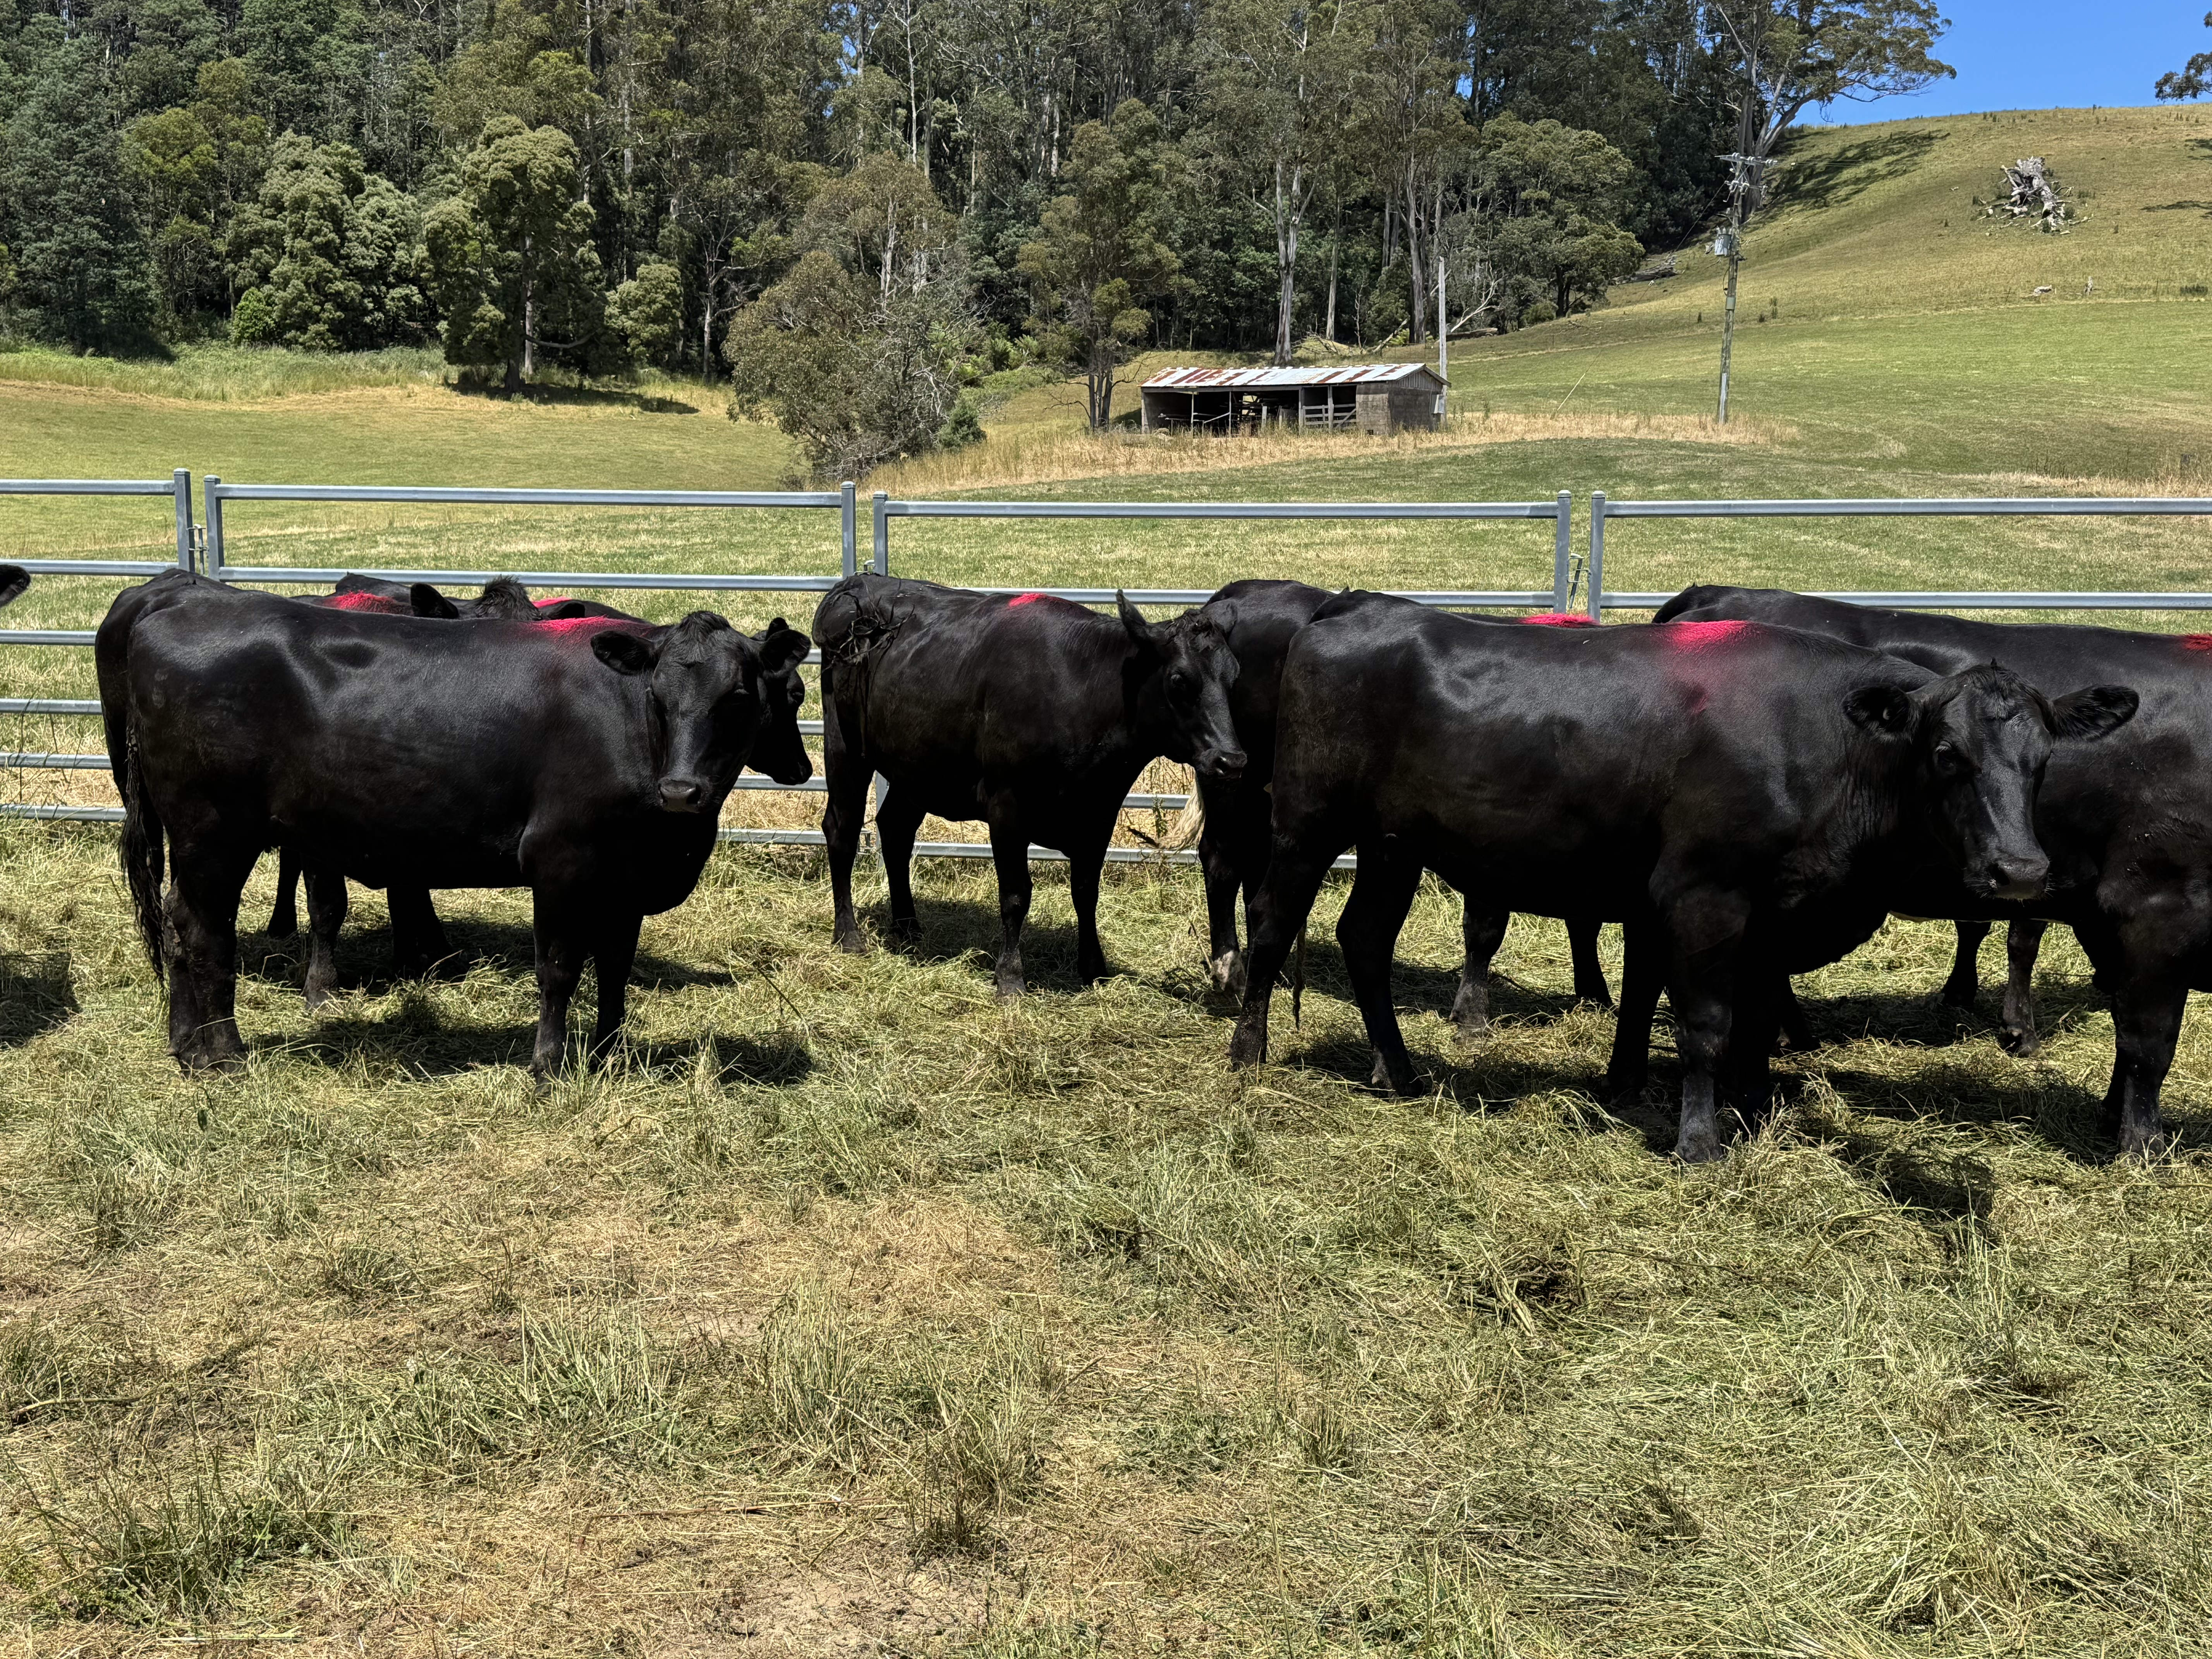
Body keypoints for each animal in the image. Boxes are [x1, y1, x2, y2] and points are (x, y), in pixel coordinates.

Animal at [97, 570, 810, 1072]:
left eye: (739, 695)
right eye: (658, 694)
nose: (682, 790)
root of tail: (175, 606)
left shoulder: (626, 876)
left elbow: (614, 967)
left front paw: (609, 1054)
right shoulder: (561, 861)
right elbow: (559, 967)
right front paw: (548, 1065)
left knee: (177, 922)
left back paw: (186, 1044)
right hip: (214, 831)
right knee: (202, 930)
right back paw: (220, 1052)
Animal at [812, 575, 1245, 998]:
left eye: (1234, 676)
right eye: (1179, 680)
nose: (1231, 760)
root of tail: (856, 585)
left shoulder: (1100, 812)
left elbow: (1086, 891)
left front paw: (1094, 968)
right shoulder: (1007, 804)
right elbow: (1016, 894)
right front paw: (1010, 978)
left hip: (915, 767)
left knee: (896, 831)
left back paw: (907, 927)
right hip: (844, 745)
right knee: (842, 829)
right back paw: (848, 935)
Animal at [1192, 579, 1612, 1031]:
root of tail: (1240, 592)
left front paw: (1596, 994)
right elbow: (1486, 925)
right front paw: (1472, 1011)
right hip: (1233, 776)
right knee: (1221, 858)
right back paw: (1229, 967)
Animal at [1226, 592, 2137, 1162]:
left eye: (2042, 760)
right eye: (1947, 755)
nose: (2020, 869)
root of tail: (1357, 605)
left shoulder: (1774, 913)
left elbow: (1756, 1023)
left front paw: (1754, 1111)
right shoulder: (1705, 896)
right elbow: (1704, 1022)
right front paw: (1699, 1140)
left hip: (1392, 844)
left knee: (1364, 940)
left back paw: (1400, 1070)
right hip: (1305, 821)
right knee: (1271, 923)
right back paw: (1247, 1053)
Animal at [1658, 583, 2211, 1157]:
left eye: (2047, 761)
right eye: (1947, 756)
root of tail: (1714, 594)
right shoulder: (2159, 902)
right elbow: (2144, 1036)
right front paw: (2139, 1141)